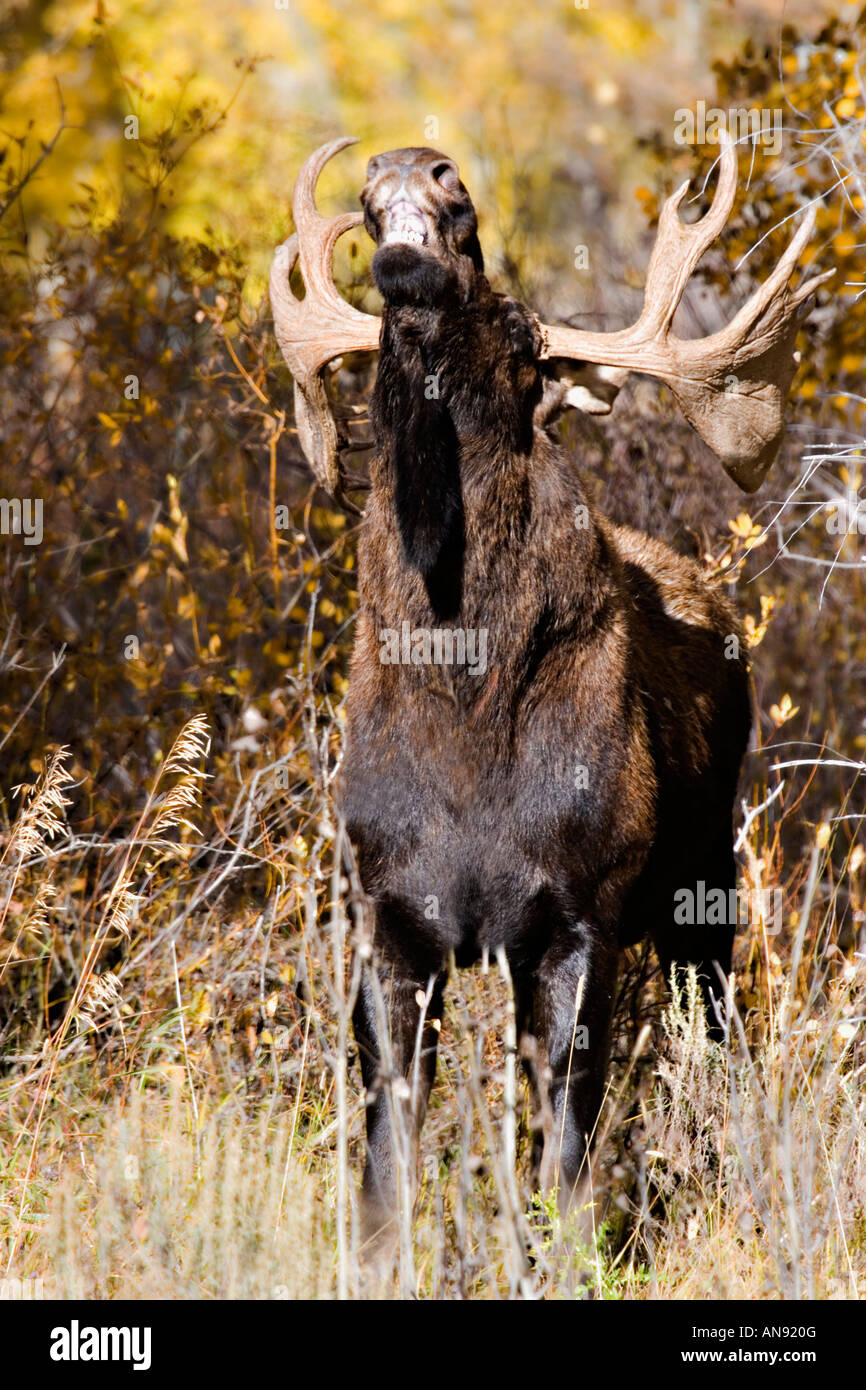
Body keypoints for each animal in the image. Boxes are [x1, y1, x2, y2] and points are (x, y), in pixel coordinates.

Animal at [269, 135, 828, 1252]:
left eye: (524, 341)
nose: (418, 164)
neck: (467, 712)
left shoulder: (581, 913)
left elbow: (562, 1149)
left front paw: (565, 1256)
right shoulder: (386, 913)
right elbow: (386, 1154)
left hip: (707, 882)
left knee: (719, 1035)